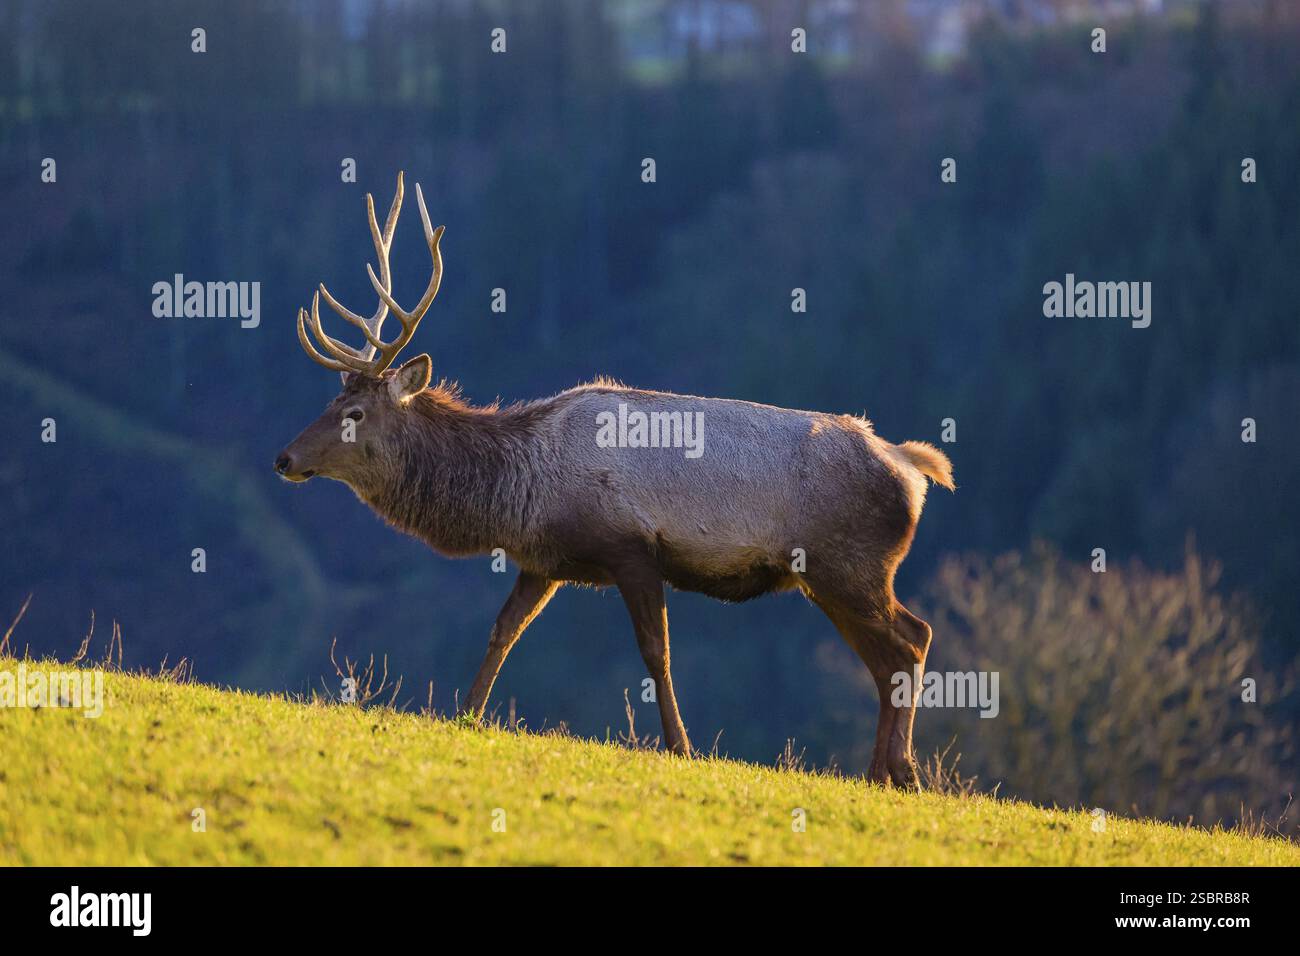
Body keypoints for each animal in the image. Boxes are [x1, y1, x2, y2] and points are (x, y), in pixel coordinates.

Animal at [275, 172, 955, 787]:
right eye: (331, 401)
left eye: (355, 413)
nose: (284, 458)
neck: (524, 489)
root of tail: (914, 469)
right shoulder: (544, 562)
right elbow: (503, 631)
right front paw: (465, 715)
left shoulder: (632, 548)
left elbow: (657, 652)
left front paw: (681, 746)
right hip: (832, 577)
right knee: (892, 651)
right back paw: (881, 771)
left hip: (852, 565)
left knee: (910, 639)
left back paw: (902, 771)